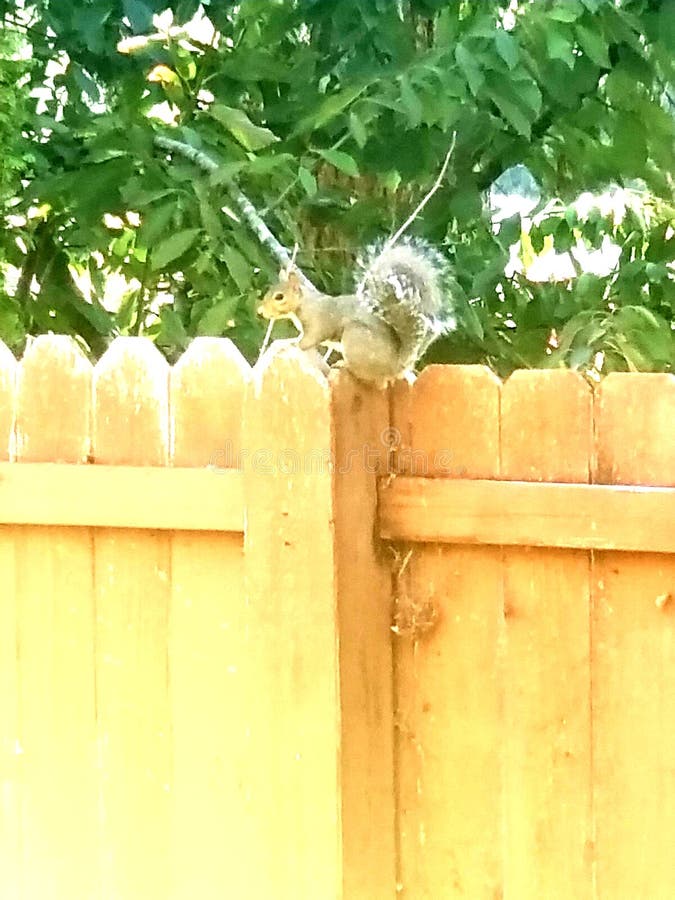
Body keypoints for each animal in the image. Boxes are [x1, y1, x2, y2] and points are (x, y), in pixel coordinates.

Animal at [257, 237, 455, 386]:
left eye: (279, 297)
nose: (261, 311)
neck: (305, 303)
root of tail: (397, 366)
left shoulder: (318, 323)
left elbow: (307, 340)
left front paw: (288, 344)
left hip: (355, 337)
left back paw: (343, 365)